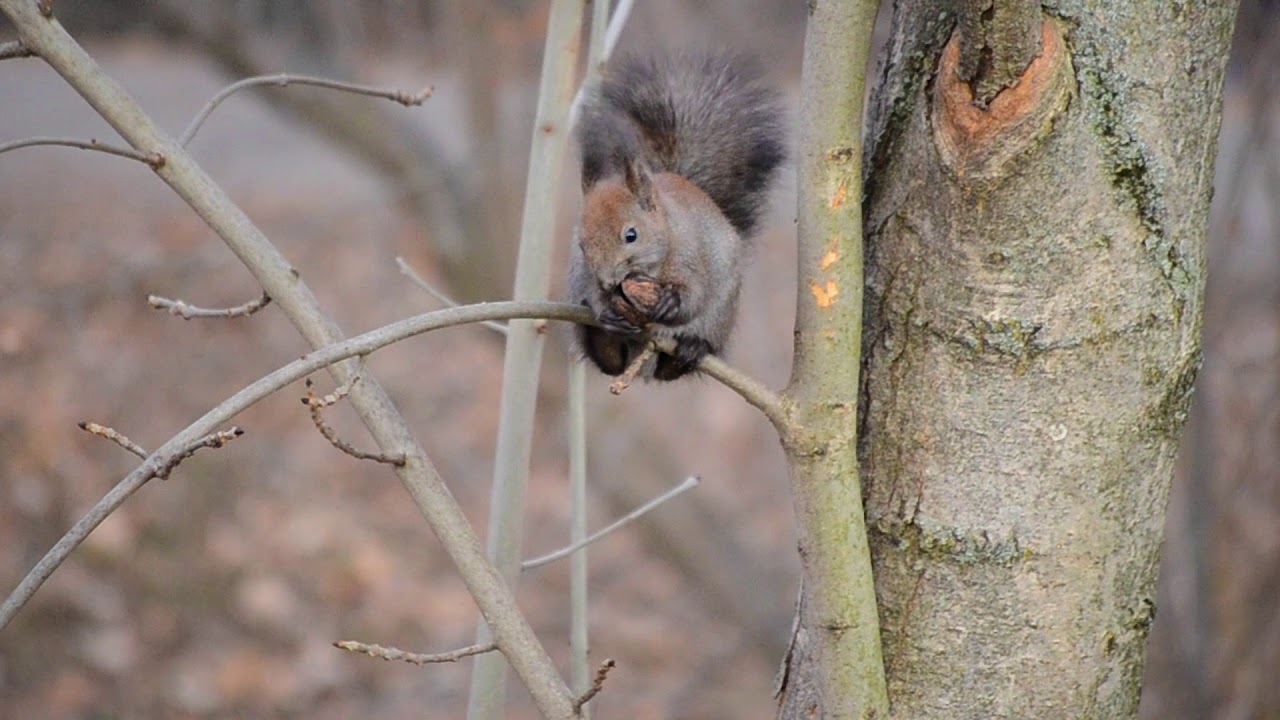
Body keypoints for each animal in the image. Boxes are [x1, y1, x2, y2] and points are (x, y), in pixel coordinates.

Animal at [567, 52, 786, 381]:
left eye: (631, 235)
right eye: (581, 245)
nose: (608, 282)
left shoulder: (691, 256)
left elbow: (694, 294)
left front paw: (672, 301)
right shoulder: (584, 274)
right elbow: (593, 293)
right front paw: (606, 307)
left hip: (721, 311)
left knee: (671, 369)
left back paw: (692, 349)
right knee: (610, 362)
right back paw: (601, 338)